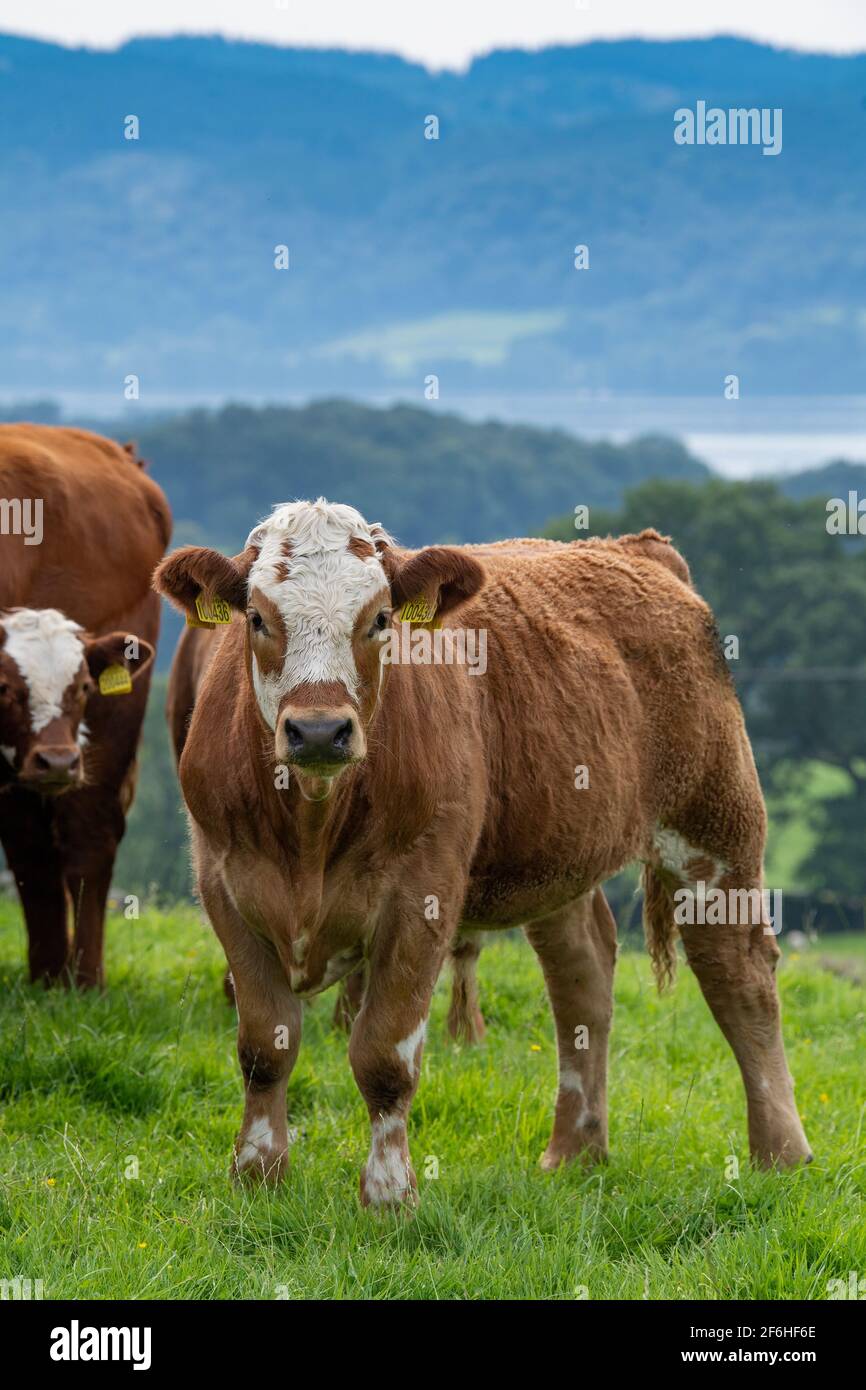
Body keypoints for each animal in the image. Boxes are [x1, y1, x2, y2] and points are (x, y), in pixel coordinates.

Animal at [0, 425, 170, 986]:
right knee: (31, 847)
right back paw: (47, 974)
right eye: (4, 687)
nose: (56, 760)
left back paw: (81, 979)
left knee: (87, 836)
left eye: (80, 689)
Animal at [154, 499, 812, 1207]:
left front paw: (389, 1197)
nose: (320, 731)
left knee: (740, 978)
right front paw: (256, 1176)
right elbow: (264, 1049)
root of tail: (636, 548)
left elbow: (384, 1057)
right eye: (256, 617)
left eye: (379, 619)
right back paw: (575, 1150)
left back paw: (781, 1152)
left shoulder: (423, 893)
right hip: (559, 855)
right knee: (582, 977)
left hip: (715, 827)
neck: (311, 828)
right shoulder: (225, 886)